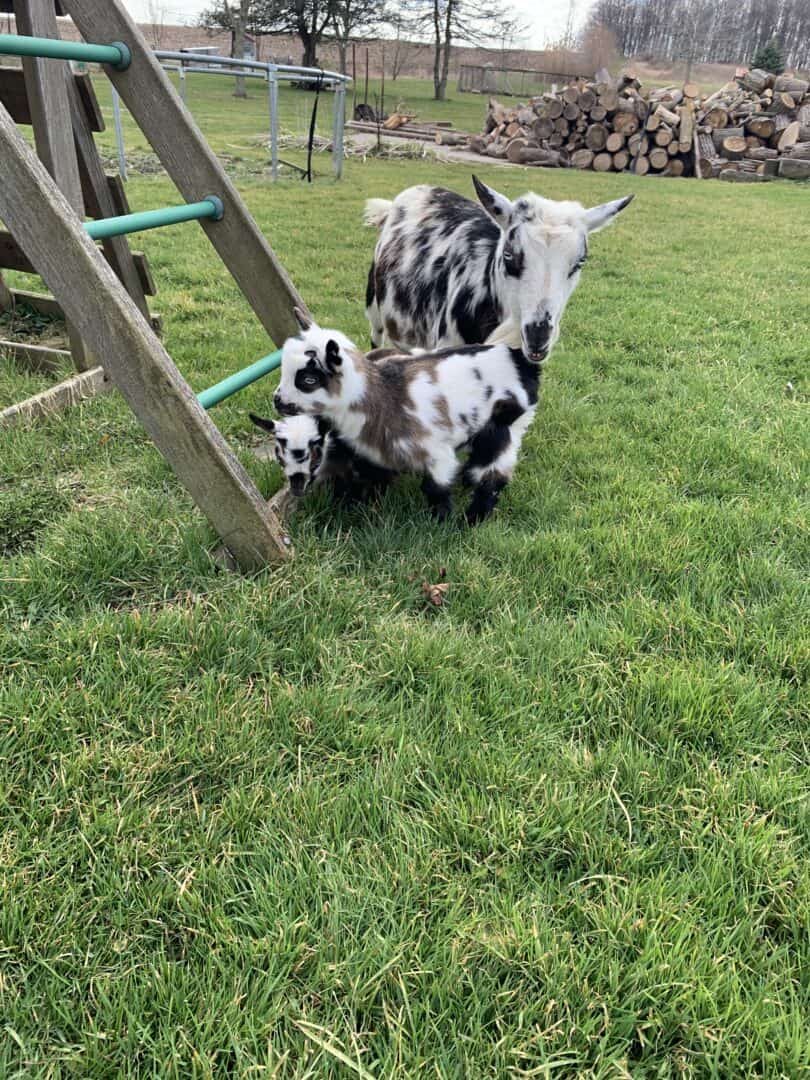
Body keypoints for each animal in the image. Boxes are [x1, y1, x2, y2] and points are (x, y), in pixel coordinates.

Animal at [273, 309, 540, 523]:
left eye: (308, 380)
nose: (277, 399)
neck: (382, 396)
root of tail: (517, 359)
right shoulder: (373, 452)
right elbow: (369, 479)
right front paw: (356, 508)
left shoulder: (436, 452)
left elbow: (435, 487)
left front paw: (441, 523)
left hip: (505, 427)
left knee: (492, 474)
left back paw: (472, 519)